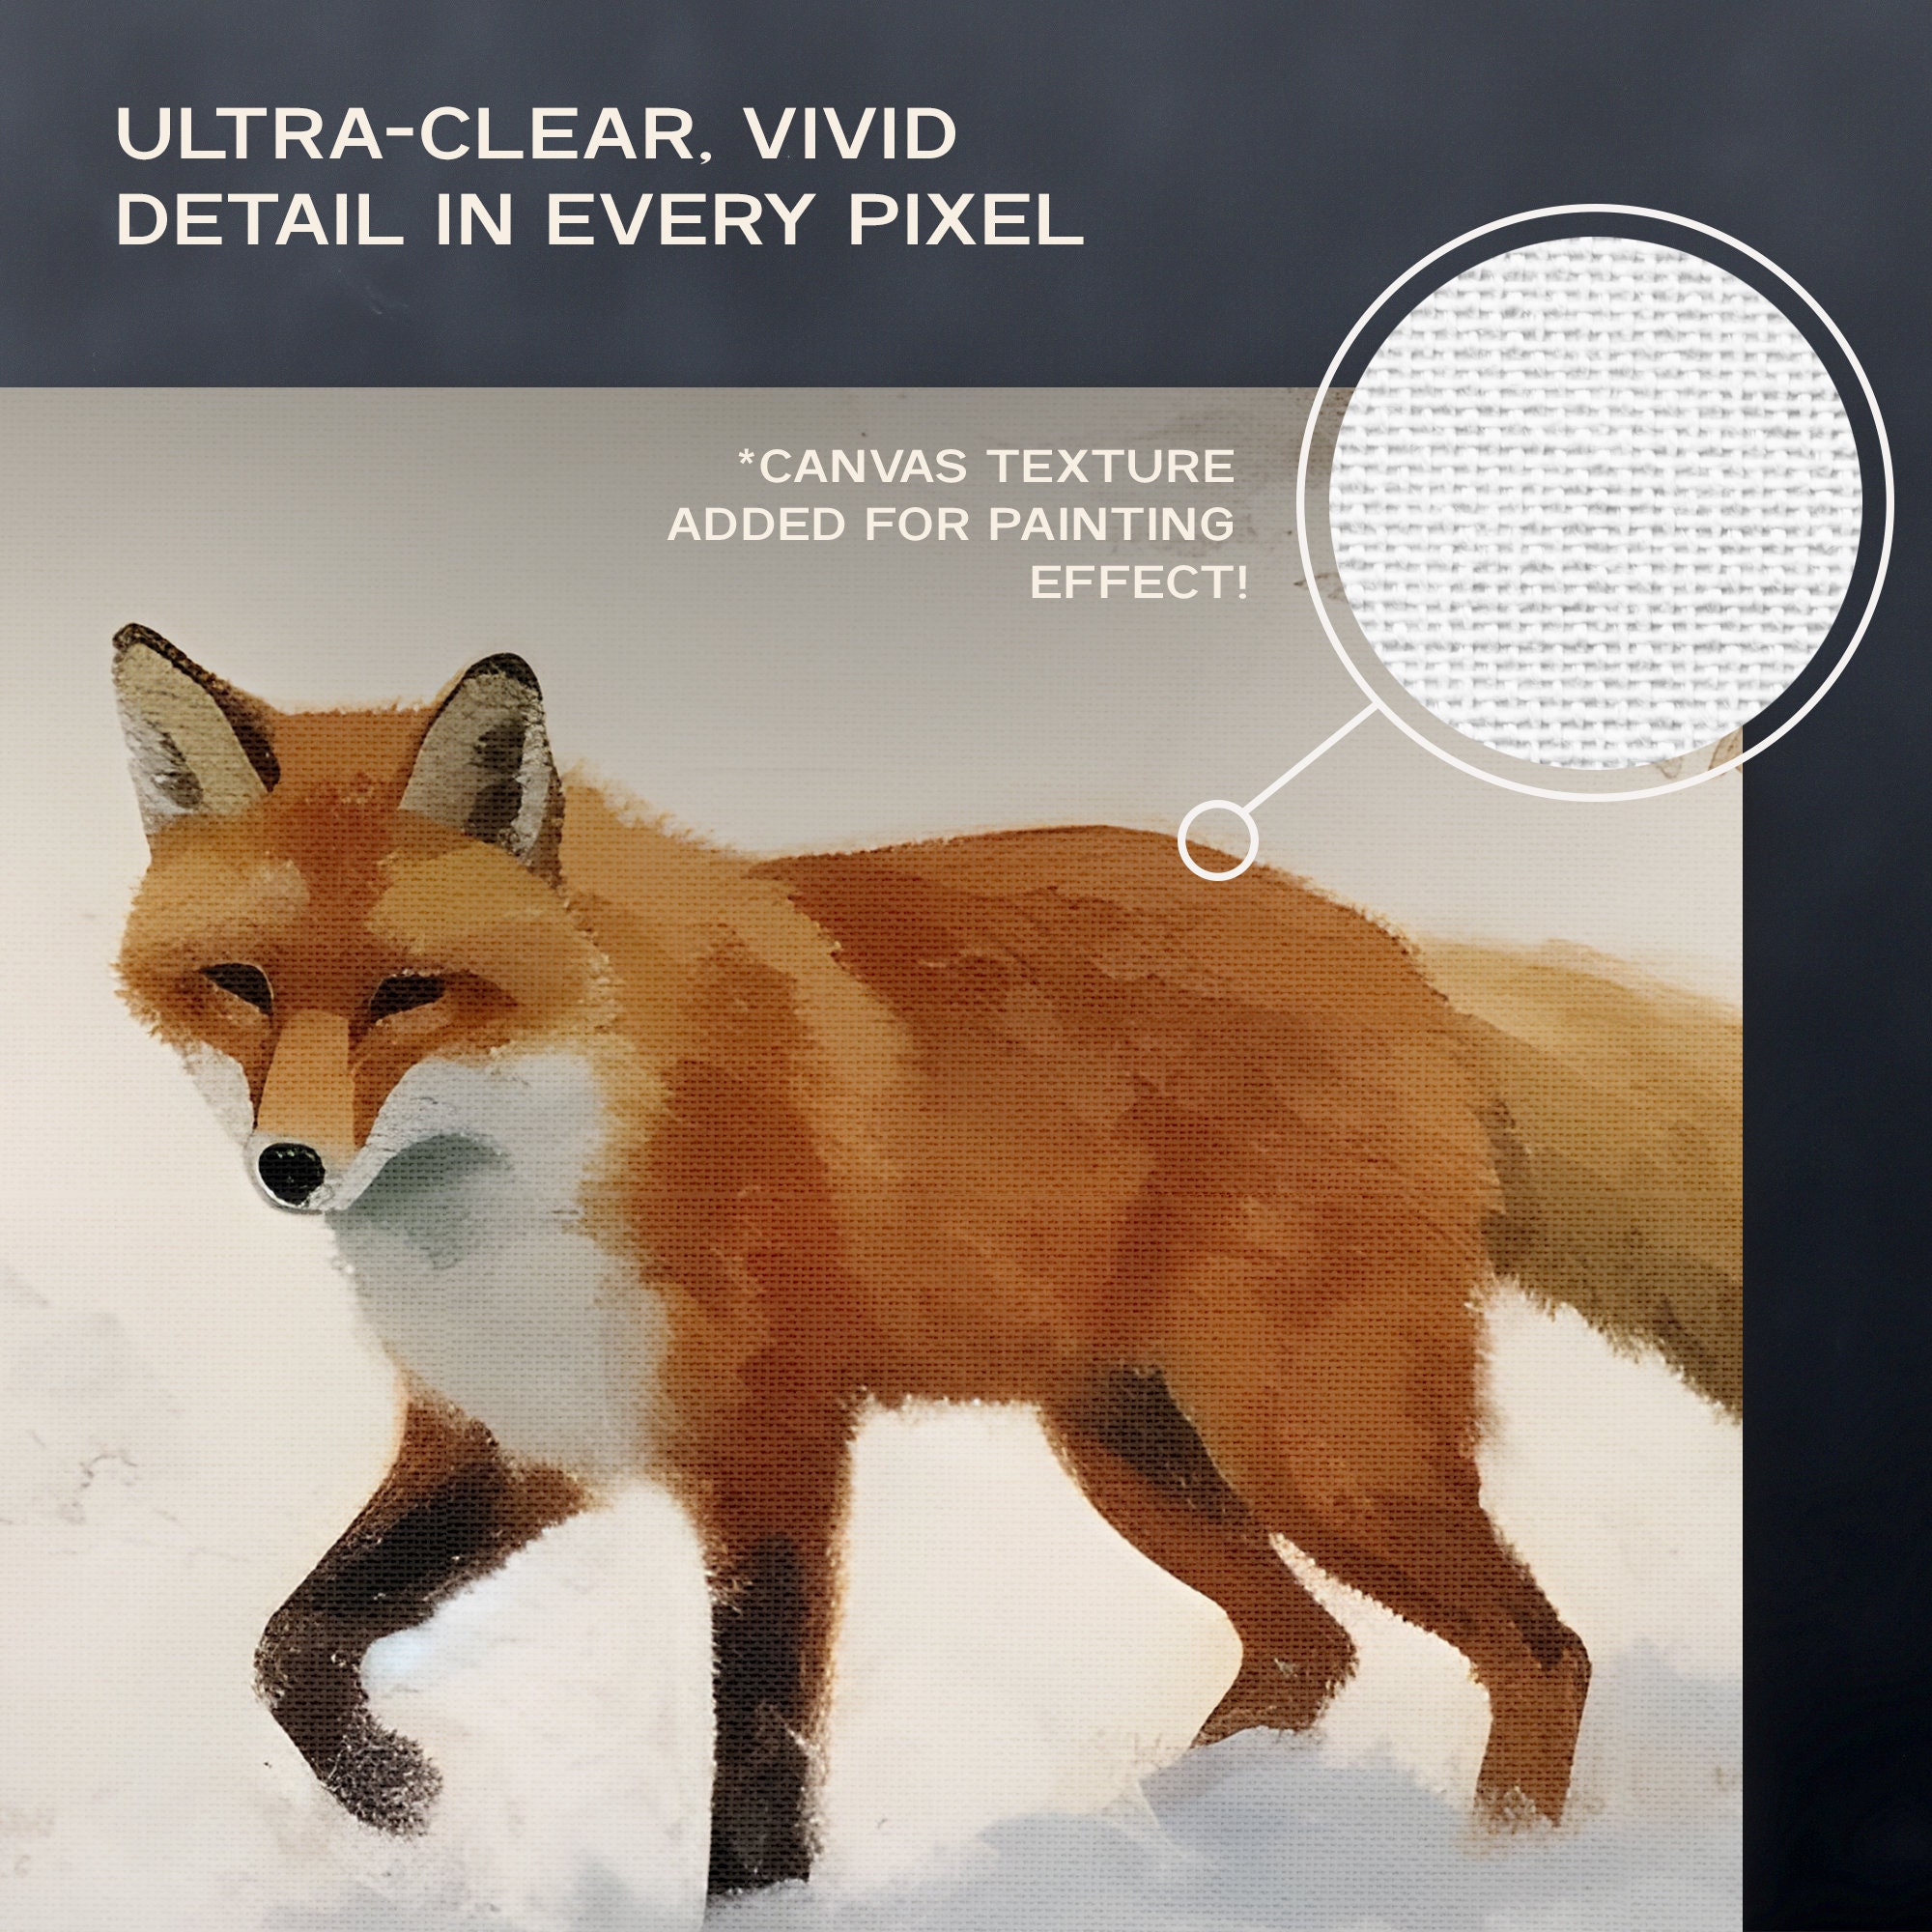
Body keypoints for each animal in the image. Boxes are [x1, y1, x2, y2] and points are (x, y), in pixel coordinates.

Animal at [111, 623, 1741, 1899]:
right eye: (239, 984)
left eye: (409, 994)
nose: (291, 1168)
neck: (531, 1163)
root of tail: (1408, 964)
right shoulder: (522, 1427)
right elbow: (291, 1645)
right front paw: (403, 1796)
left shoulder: (772, 1447)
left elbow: (761, 1765)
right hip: (1135, 1447)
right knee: (1307, 1655)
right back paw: (1148, 1840)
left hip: (1315, 1451)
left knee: (1540, 1653)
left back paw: (1492, 1881)